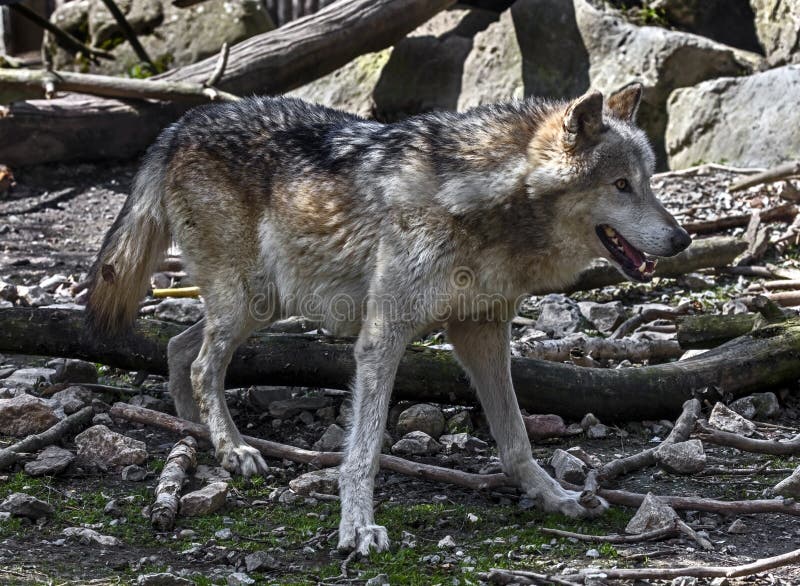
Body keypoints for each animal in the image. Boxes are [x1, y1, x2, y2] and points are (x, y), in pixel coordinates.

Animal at [86, 82, 691, 555]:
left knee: (179, 350)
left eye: (649, 182)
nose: (682, 238)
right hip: (248, 302)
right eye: (621, 185)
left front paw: (553, 497)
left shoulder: (482, 333)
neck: (483, 208)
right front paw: (357, 528)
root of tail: (179, 125)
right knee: (200, 364)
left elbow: (515, 437)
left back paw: (197, 435)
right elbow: (365, 450)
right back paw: (231, 447)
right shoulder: (384, 336)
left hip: (263, 304)